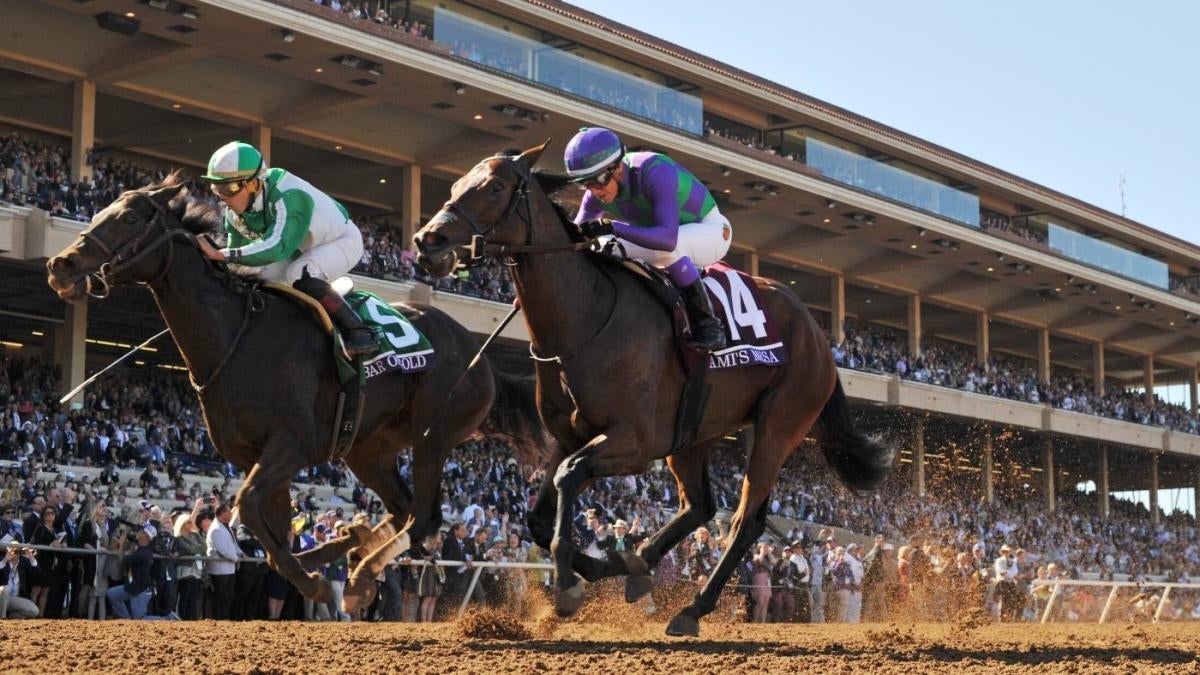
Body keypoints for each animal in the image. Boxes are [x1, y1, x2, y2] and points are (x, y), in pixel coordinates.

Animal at [46, 175, 545, 606]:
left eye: (130, 217)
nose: (60, 265)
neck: (237, 337)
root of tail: (483, 357)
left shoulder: (294, 444)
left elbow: (248, 505)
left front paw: (314, 580)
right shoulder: (258, 457)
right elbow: (269, 529)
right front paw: (316, 564)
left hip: (433, 436)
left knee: (425, 516)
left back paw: (358, 568)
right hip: (368, 448)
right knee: (404, 510)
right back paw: (355, 550)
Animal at [412, 142, 894, 636]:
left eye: (494, 187)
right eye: (456, 184)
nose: (429, 241)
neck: (584, 317)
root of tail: (820, 337)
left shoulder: (635, 442)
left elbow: (568, 478)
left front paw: (568, 585)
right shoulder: (569, 436)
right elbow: (539, 517)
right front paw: (602, 566)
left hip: (779, 427)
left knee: (744, 521)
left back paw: (691, 608)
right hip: (694, 434)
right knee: (701, 506)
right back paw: (640, 566)